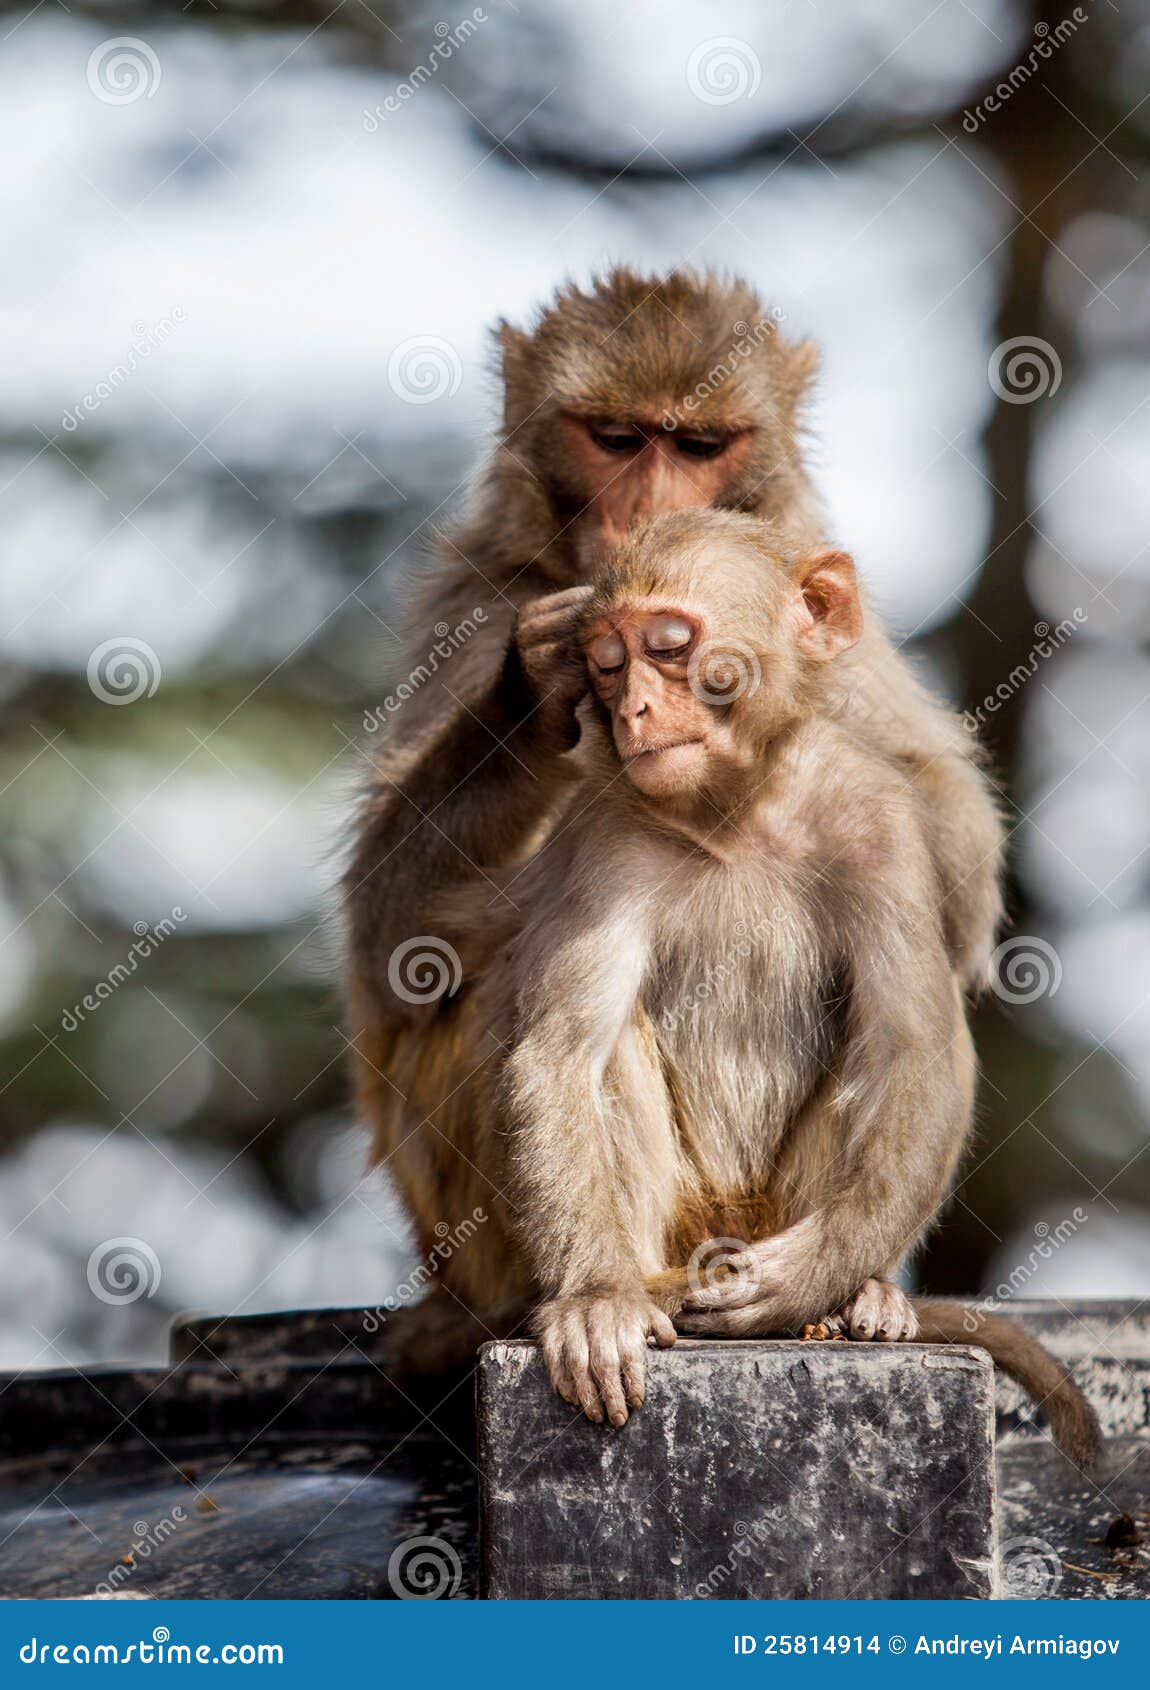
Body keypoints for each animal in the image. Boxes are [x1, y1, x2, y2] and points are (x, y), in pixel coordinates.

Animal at [343, 267, 1006, 1375]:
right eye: (615, 439)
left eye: (697, 446)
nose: (651, 510)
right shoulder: (473, 603)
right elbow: (390, 945)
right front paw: (532, 687)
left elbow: (941, 852)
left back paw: (855, 1294)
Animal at [356, 508, 1098, 1468]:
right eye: (605, 661)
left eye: (669, 646)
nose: (632, 709)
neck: (738, 809)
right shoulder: (608, 839)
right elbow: (560, 1053)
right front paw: (594, 1300)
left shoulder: (881, 819)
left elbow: (912, 1050)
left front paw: (809, 1277)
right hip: (687, 1218)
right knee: (607, 1053)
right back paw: (641, 1290)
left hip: (762, 1210)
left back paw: (853, 1300)